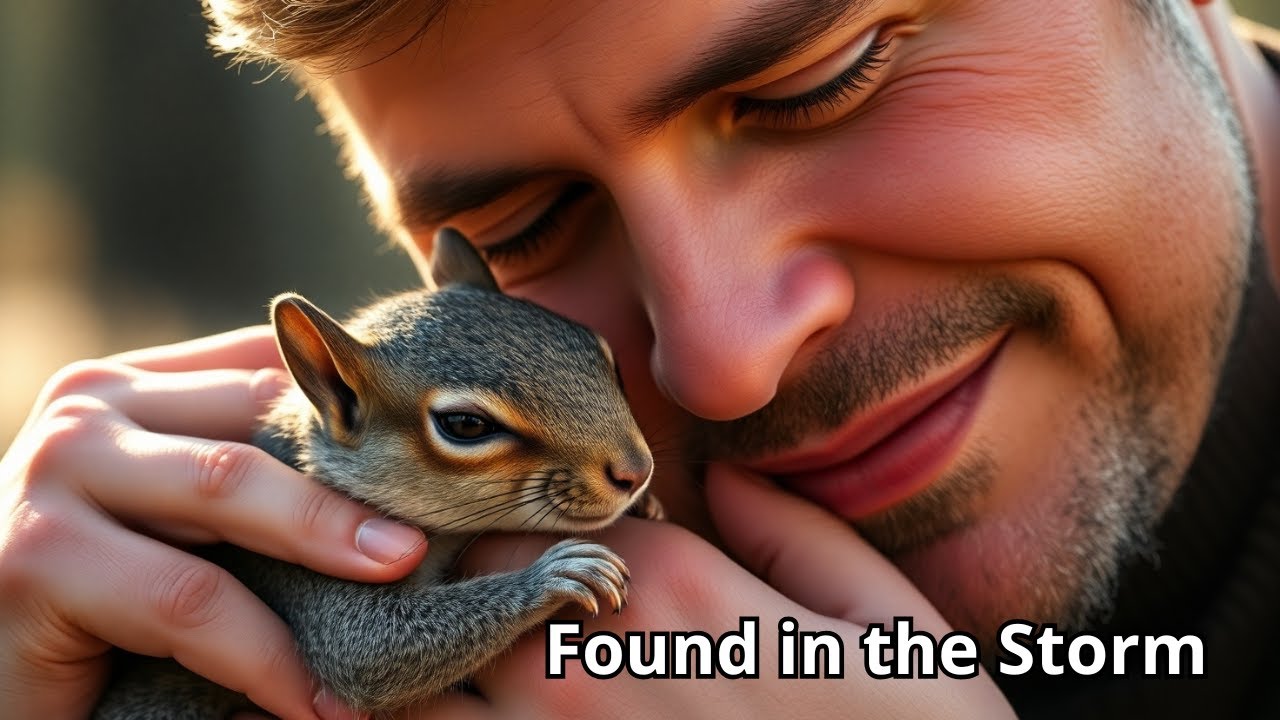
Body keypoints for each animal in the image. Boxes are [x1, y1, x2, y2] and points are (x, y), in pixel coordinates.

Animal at [93, 228, 662, 719]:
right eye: (465, 424)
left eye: (601, 352)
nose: (637, 472)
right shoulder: (296, 571)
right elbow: (366, 648)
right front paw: (560, 572)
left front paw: (649, 507)